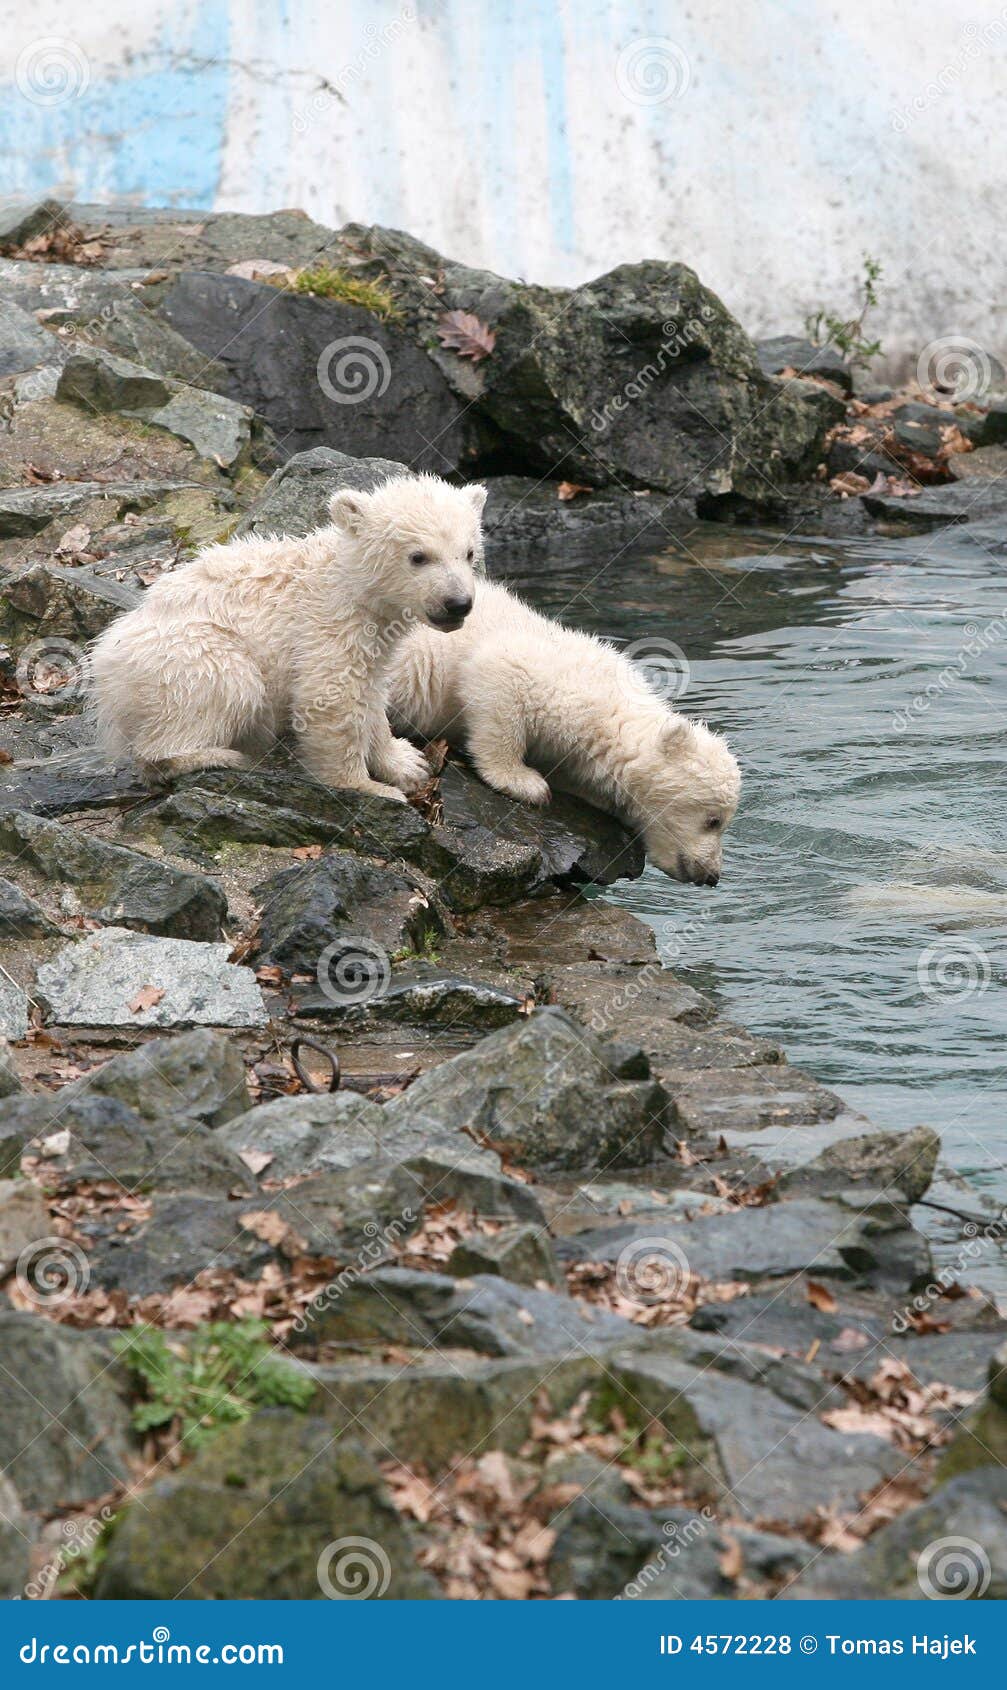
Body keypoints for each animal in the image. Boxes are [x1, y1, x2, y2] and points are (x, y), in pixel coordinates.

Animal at [90, 474, 485, 803]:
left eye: (468, 553)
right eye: (418, 556)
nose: (458, 603)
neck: (348, 583)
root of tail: (105, 668)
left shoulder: (373, 640)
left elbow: (371, 693)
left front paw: (406, 762)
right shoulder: (326, 625)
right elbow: (331, 696)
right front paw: (368, 787)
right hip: (186, 655)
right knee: (222, 686)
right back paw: (216, 755)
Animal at [387, 578, 741, 883]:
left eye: (723, 822)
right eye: (713, 820)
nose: (711, 875)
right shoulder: (555, 683)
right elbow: (497, 680)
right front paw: (525, 783)